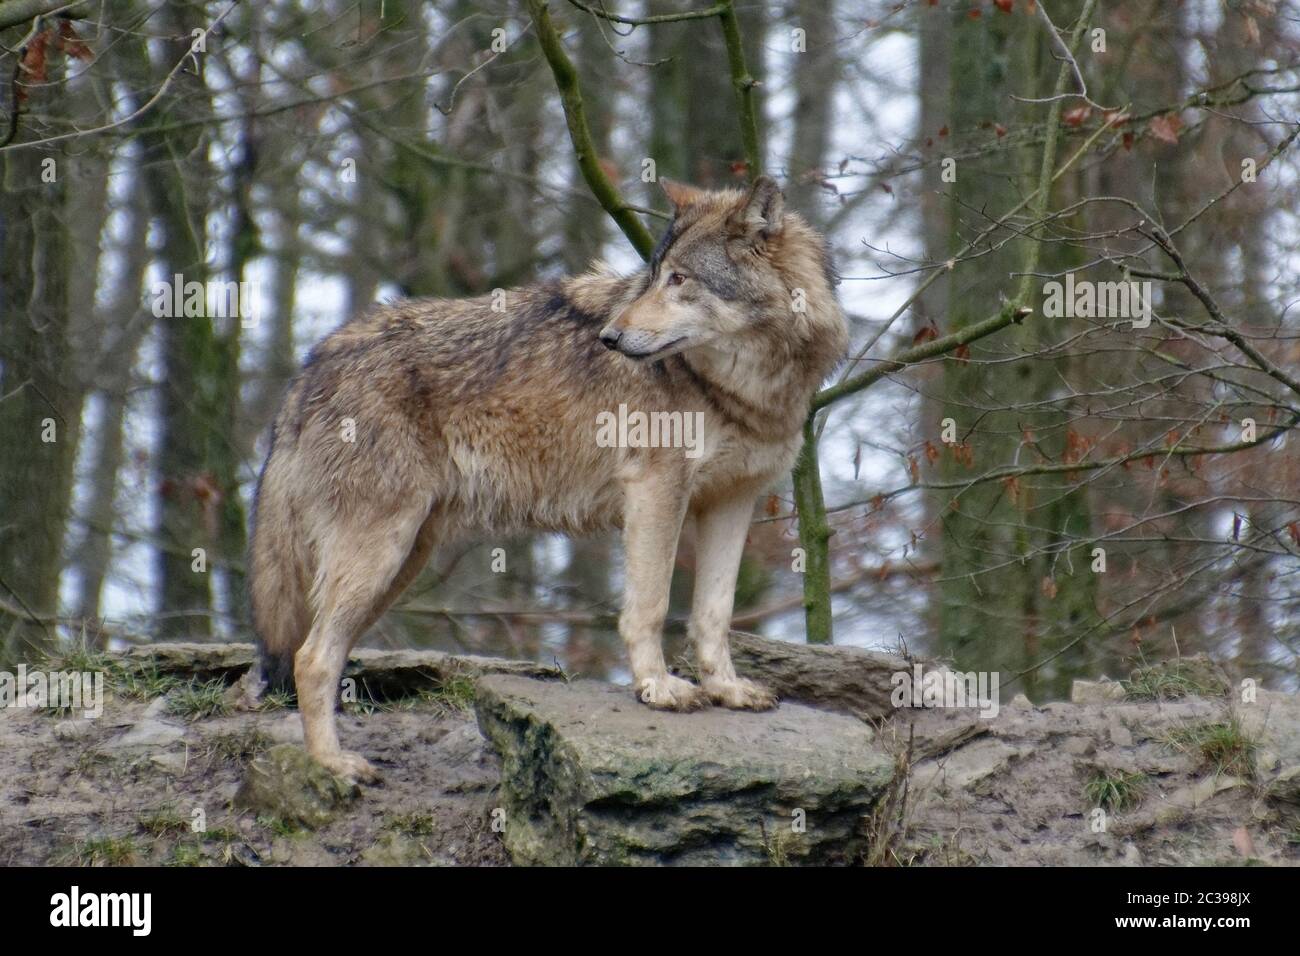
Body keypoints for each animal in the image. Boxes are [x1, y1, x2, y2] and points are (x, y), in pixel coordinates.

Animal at [249, 176, 848, 782]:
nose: (610, 337)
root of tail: (311, 365)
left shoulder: (732, 500)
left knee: (319, 650)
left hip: (400, 561)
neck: (743, 387)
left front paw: (725, 689)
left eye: (679, 279)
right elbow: (651, 606)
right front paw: (657, 687)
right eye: (654, 276)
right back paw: (333, 765)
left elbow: (714, 613)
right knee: (311, 658)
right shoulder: (656, 489)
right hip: (381, 552)